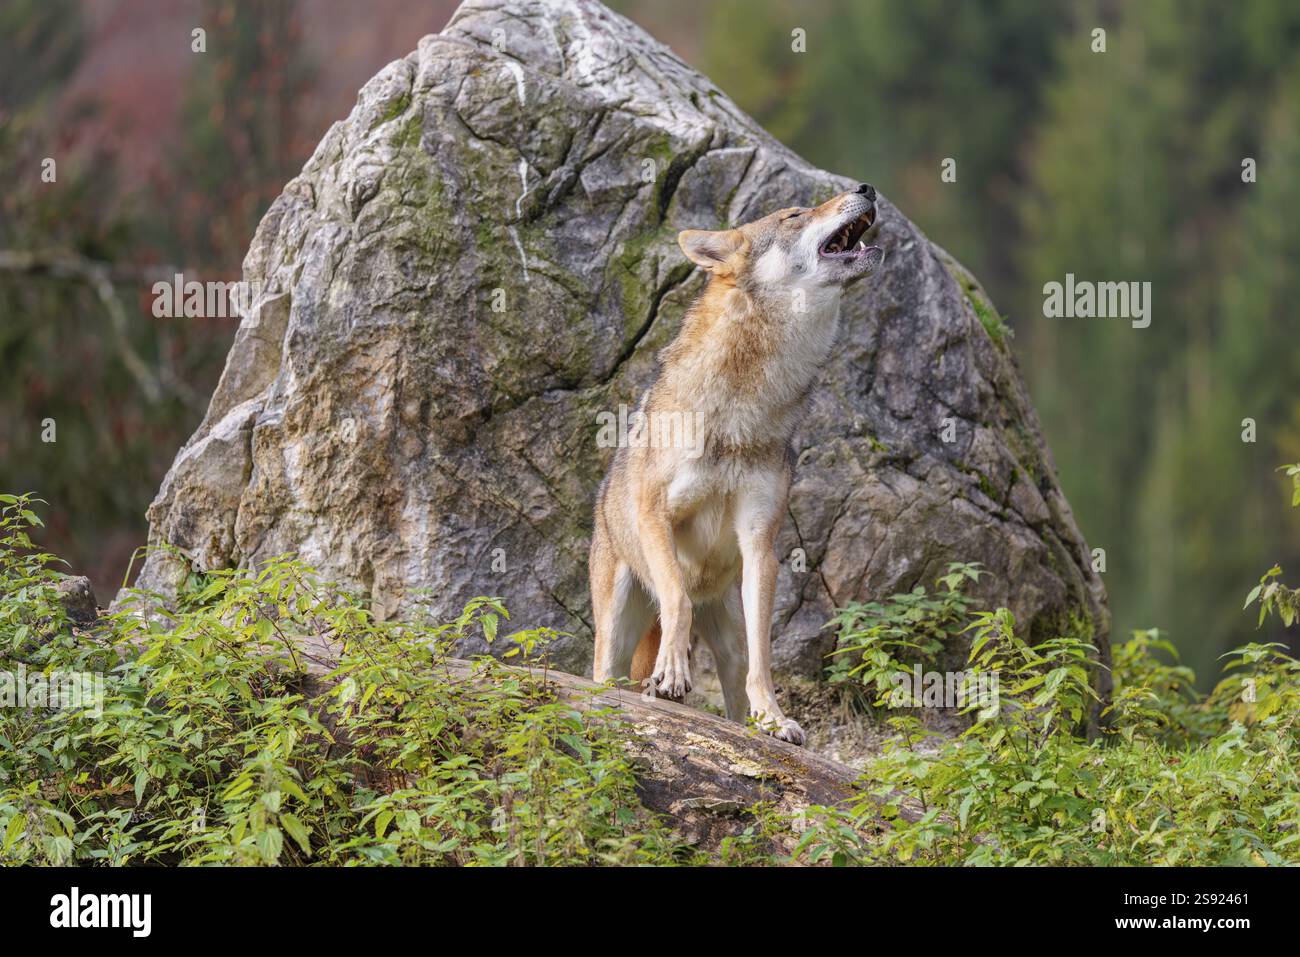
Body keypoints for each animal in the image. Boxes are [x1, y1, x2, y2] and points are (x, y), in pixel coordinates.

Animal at [589, 183, 882, 745]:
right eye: (794, 215)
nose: (865, 188)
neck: (744, 404)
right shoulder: (656, 512)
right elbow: (676, 601)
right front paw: (671, 675)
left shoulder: (759, 544)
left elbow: (765, 658)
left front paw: (775, 718)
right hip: (616, 624)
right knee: (610, 668)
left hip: (727, 629)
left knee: (734, 685)